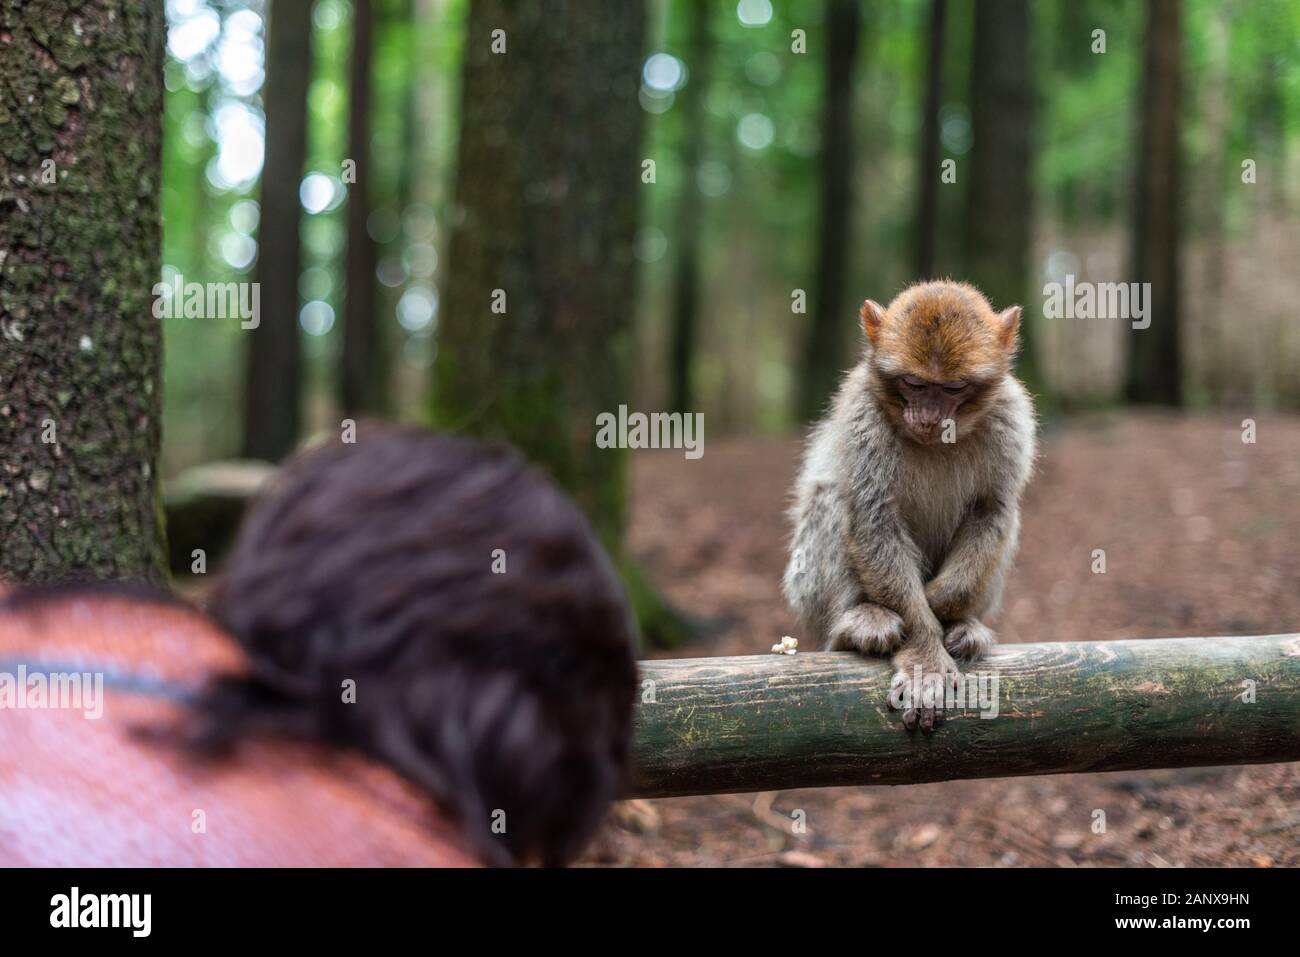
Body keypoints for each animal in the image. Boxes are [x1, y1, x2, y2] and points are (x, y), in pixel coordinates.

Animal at [782, 280, 1036, 732]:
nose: (930, 417)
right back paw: (856, 624)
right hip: (806, 596)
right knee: (831, 499)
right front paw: (924, 656)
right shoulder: (863, 415)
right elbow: (873, 517)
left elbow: (993, 511)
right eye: (914, 383)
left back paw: (965, 625)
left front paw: (942, 603)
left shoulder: (1011, 418)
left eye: (952, 388)